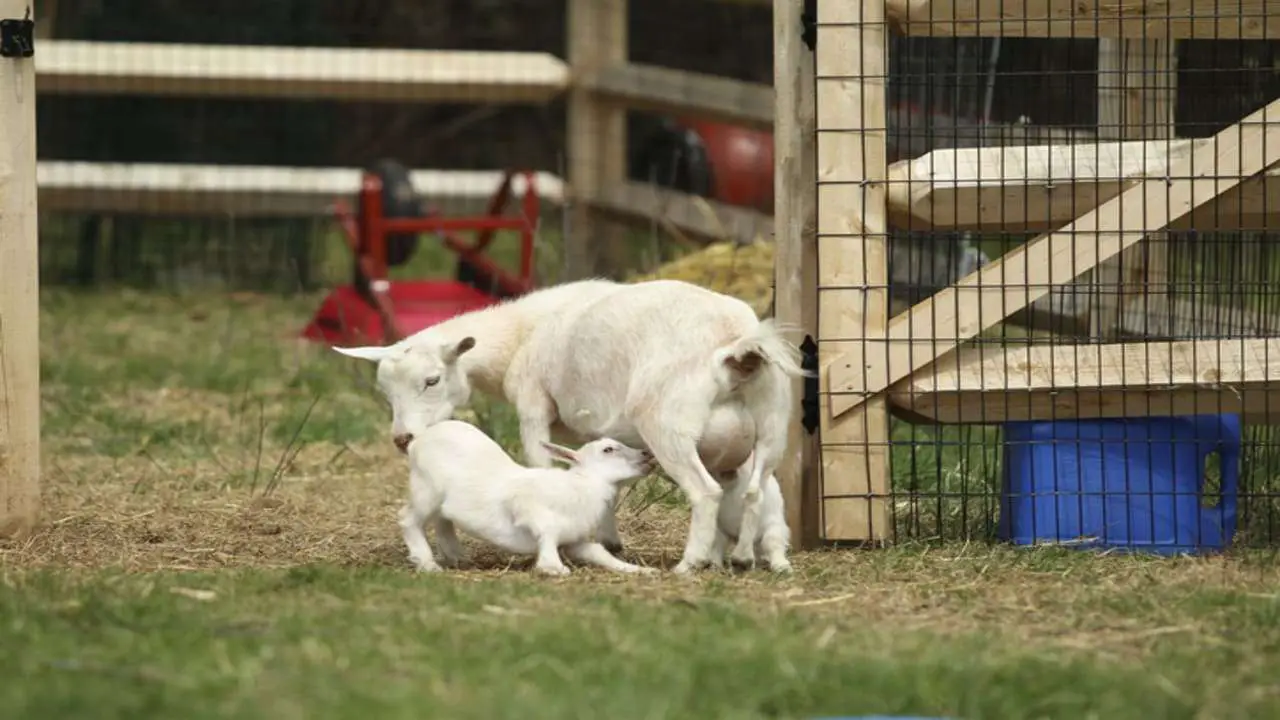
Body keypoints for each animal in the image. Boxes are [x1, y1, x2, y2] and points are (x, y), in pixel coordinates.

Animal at [399, 419, 658, 576]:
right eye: (608, 450)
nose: (647, 455)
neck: (581, 485)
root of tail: (418, 440)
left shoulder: (574, 540)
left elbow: (599, 553)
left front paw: (641, 570)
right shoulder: (527, 507)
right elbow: (546, 533)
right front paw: (553, 567)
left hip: (442, 502)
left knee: (443, 521)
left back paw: (457, 557)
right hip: (426, 490)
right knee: (408, 519)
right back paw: (427, 564)